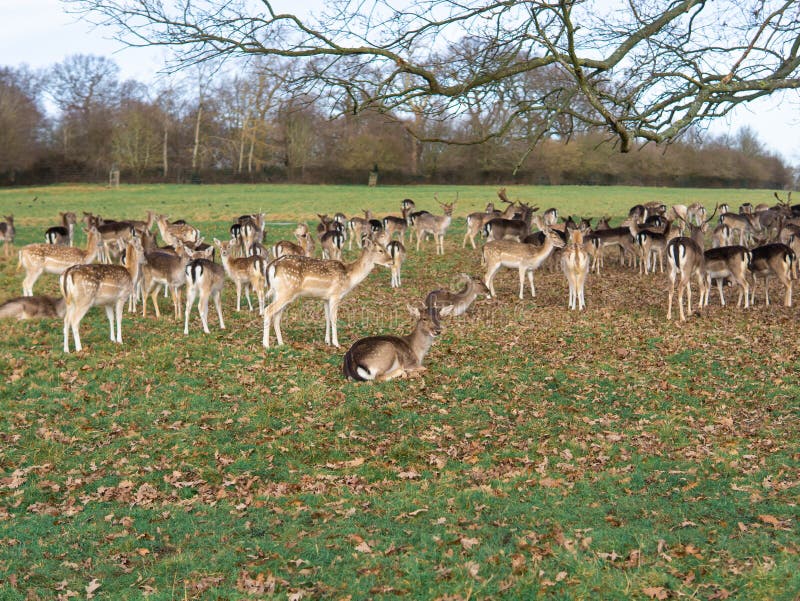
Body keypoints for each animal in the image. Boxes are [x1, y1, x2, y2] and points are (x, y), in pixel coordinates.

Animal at [262, 239, 393, 348]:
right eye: (380, 250)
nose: (391, 261)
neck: (349, 278)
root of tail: (272, 265)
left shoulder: (325, 298)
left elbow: (327, 317)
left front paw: (327, 341)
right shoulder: (335, 295)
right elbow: (334, 318)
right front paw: (336, 343)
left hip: (279, 293)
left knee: (276, 316)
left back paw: (281, 343)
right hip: (286, 292)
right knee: (268, 310)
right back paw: (266, 345)